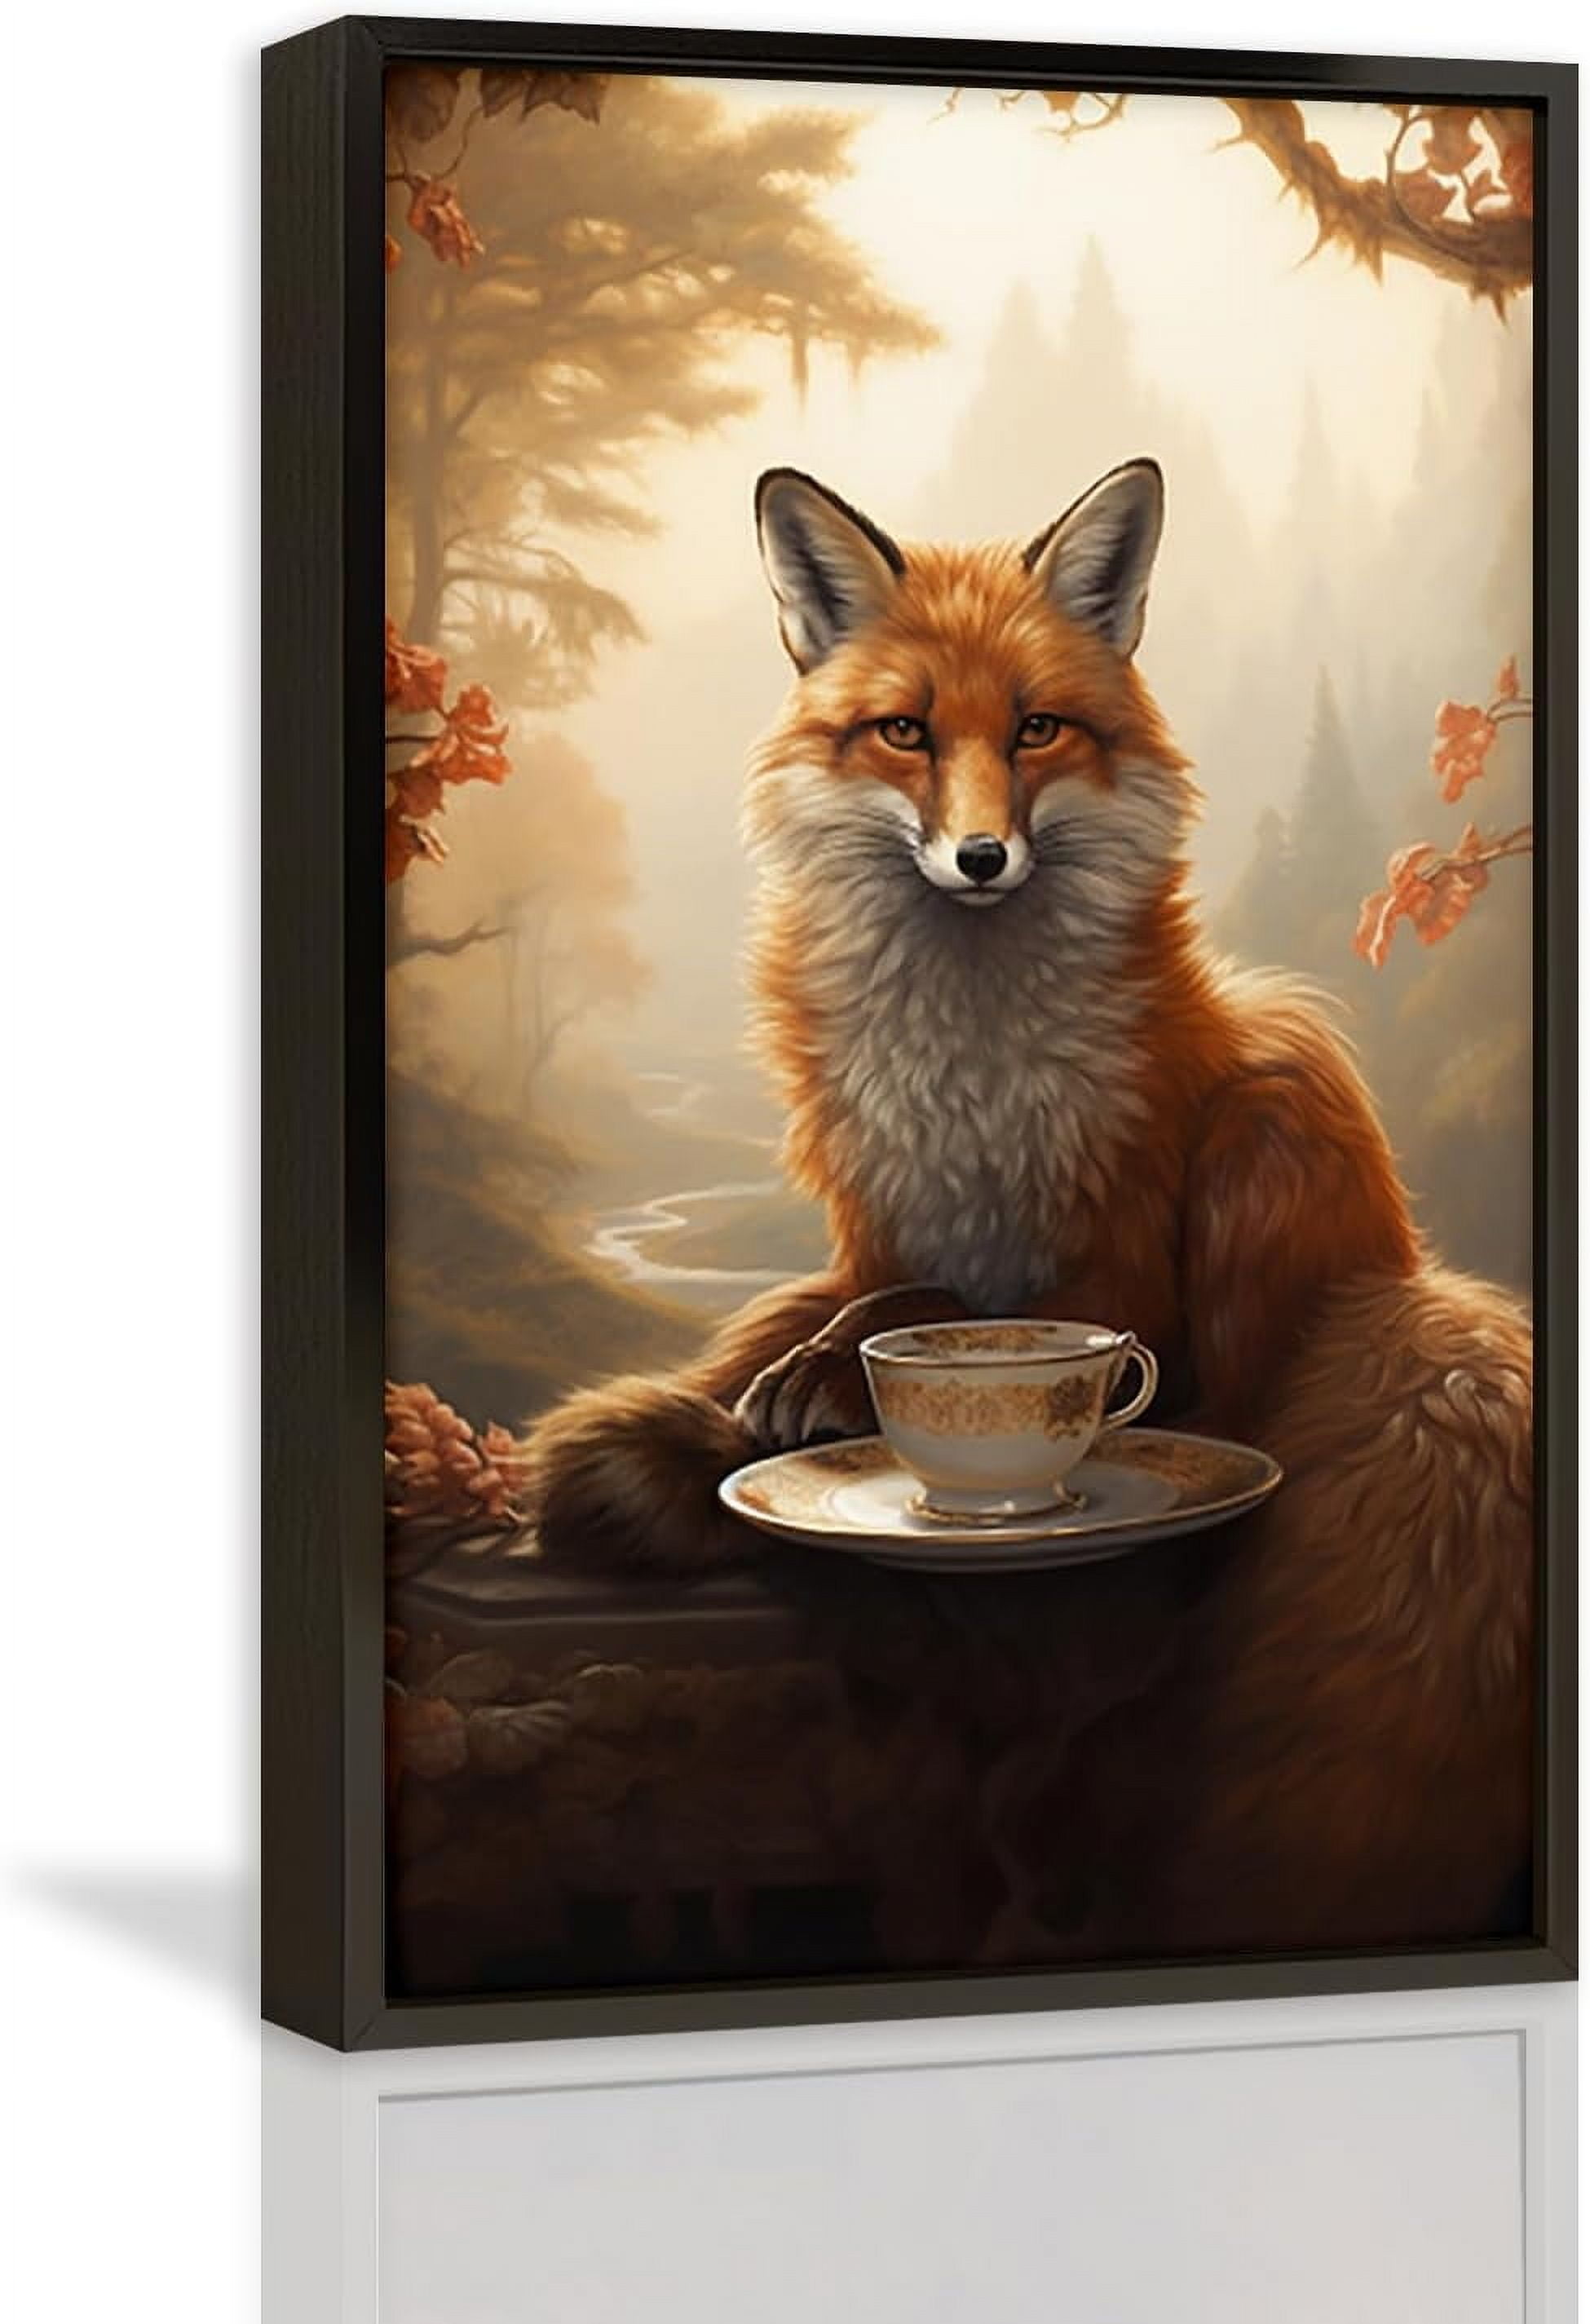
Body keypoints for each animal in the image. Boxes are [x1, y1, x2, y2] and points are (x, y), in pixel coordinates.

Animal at [526, 459, 1534, 1955]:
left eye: (1039, 728)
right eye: (904, 732)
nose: (982, 857)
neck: (970, 1062)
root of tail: (1401, 1269)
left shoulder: (1121, 1281)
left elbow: (941, 1320)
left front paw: (816, 1388)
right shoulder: (874, 1225)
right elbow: (845, 1306)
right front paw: (719, 1416)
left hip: (1267, 1116)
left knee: (1230, 1405)